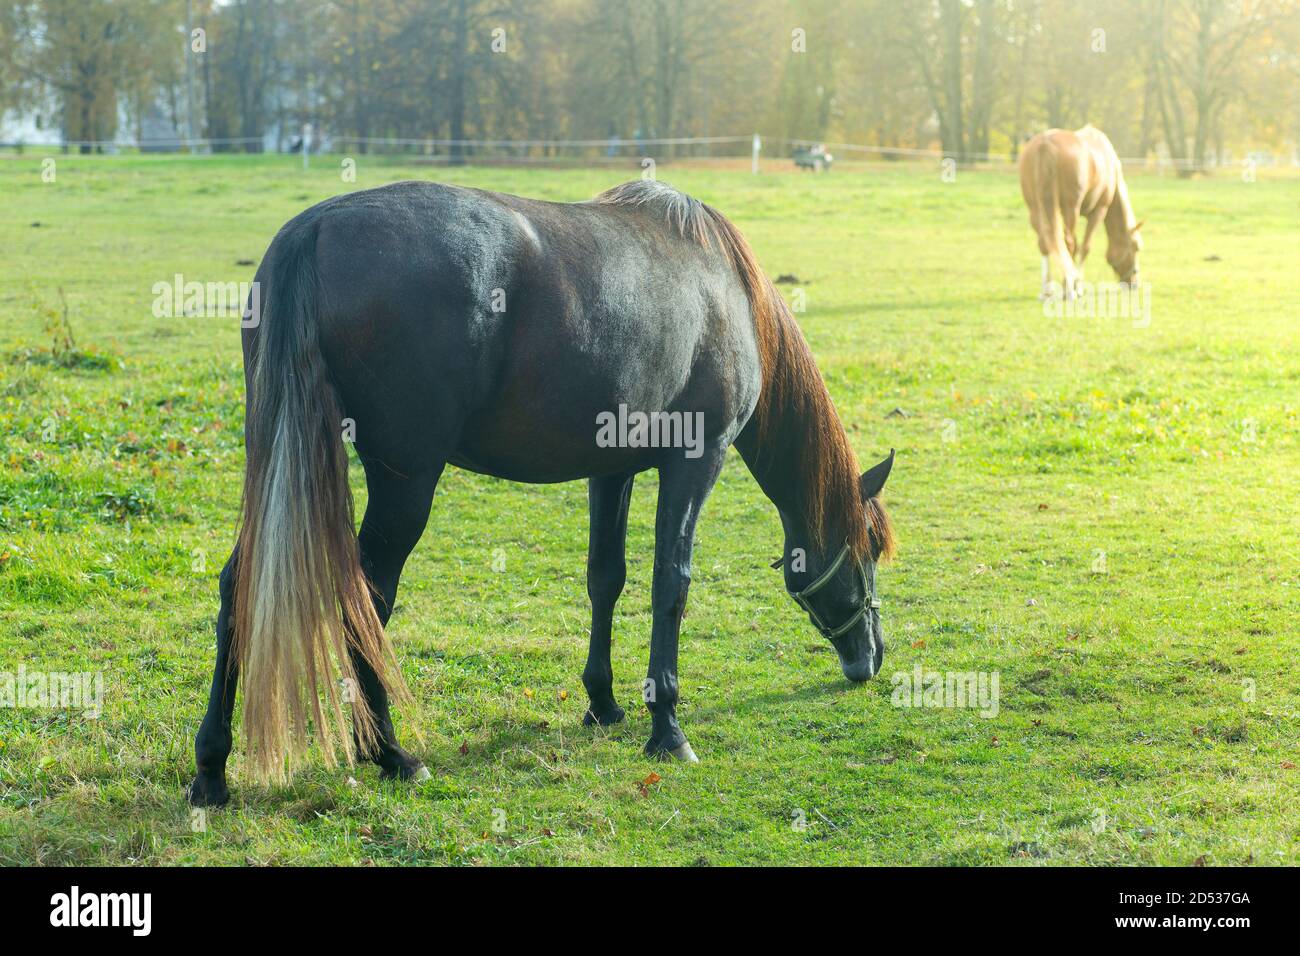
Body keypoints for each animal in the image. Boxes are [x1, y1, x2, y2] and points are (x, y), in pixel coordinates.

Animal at [187, 178, 896, 807]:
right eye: (868, 549)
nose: (870, 659)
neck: (725, 292)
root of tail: (314, 229)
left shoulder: (611, 469)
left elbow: (606, 578)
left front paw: (603, 702)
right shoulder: (696, 461)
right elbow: (671, 584)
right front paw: (667, 728)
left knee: (239, 585)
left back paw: (213, 770)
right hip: (404, 483)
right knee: (366, 597)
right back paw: (390, 754)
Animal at [1018, 125, 1144, 300]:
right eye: (1136, 247)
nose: (1134, 283)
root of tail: (1045, 145)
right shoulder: (1099, 210)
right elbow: (1085, 247)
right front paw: (1078, 287)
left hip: (1036, 209)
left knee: (1045, 243)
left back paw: (1046, 291)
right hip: (1071, 209)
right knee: (1070, 243)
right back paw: (1069, 289)